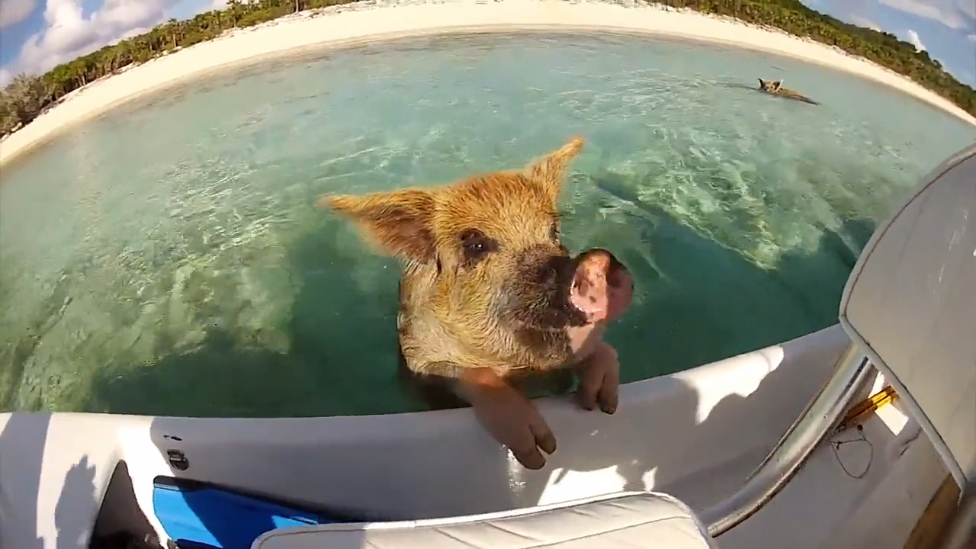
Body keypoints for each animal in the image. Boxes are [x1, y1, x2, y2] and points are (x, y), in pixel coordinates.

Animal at [319, 136, 633, 469]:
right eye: (476, 245)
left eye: (553, 231)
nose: (598, 261)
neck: (517, 364)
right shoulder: (417, 359)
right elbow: (473, 374)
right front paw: (540, 453)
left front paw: (602, 403)